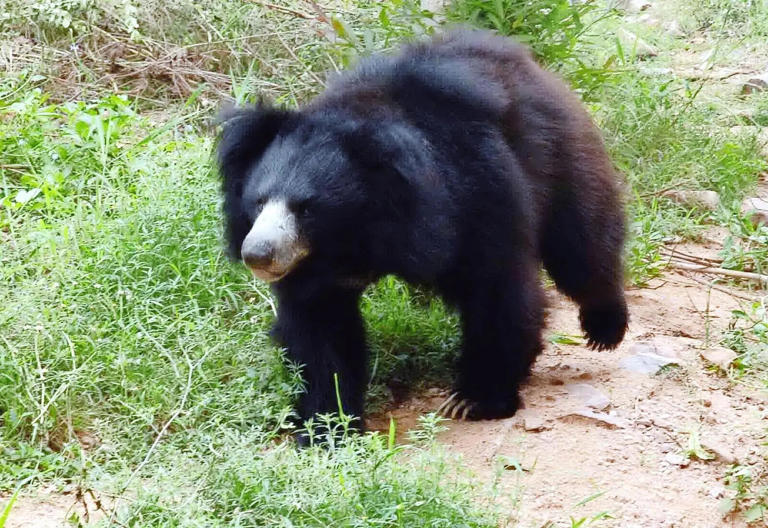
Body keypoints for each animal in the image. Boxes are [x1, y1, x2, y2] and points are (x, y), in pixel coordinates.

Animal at [217, 29, 628, 442]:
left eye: (306, 207)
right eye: (258, 202)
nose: (257, 253)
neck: (355, 237)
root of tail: (522, 58)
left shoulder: (479, 192)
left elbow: (497, 287)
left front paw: (474, 400)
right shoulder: (312, 267)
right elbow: (319, 326)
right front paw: (327, 427)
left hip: (559, 155)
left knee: (581, 243)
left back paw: (604, 328)